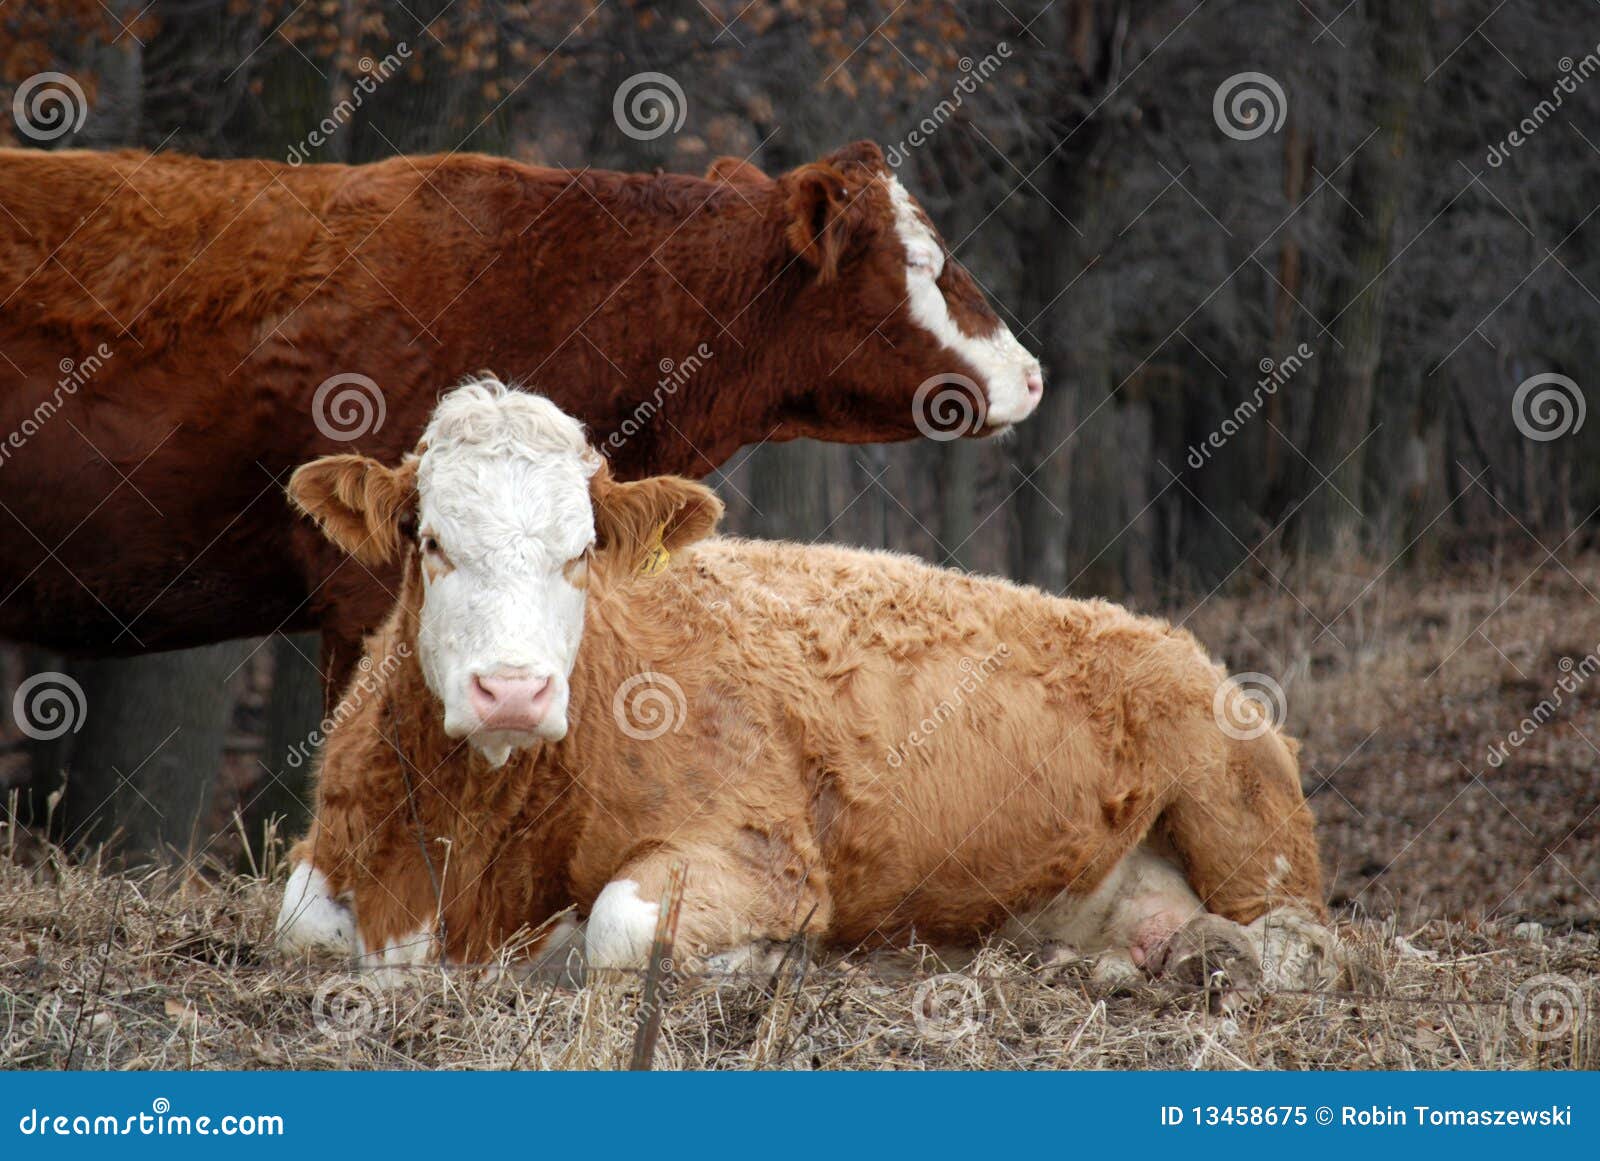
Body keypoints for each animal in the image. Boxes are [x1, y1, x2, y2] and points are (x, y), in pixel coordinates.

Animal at [274, 379, 1332, 986]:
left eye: (580, 552)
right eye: (431, 541)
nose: (514, 691)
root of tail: (1175, 639)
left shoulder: (761, 854)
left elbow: (618, 924)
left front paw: (762, 961)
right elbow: (298, 924)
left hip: (1241, 808)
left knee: (1310, 944)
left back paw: (1221, 960)